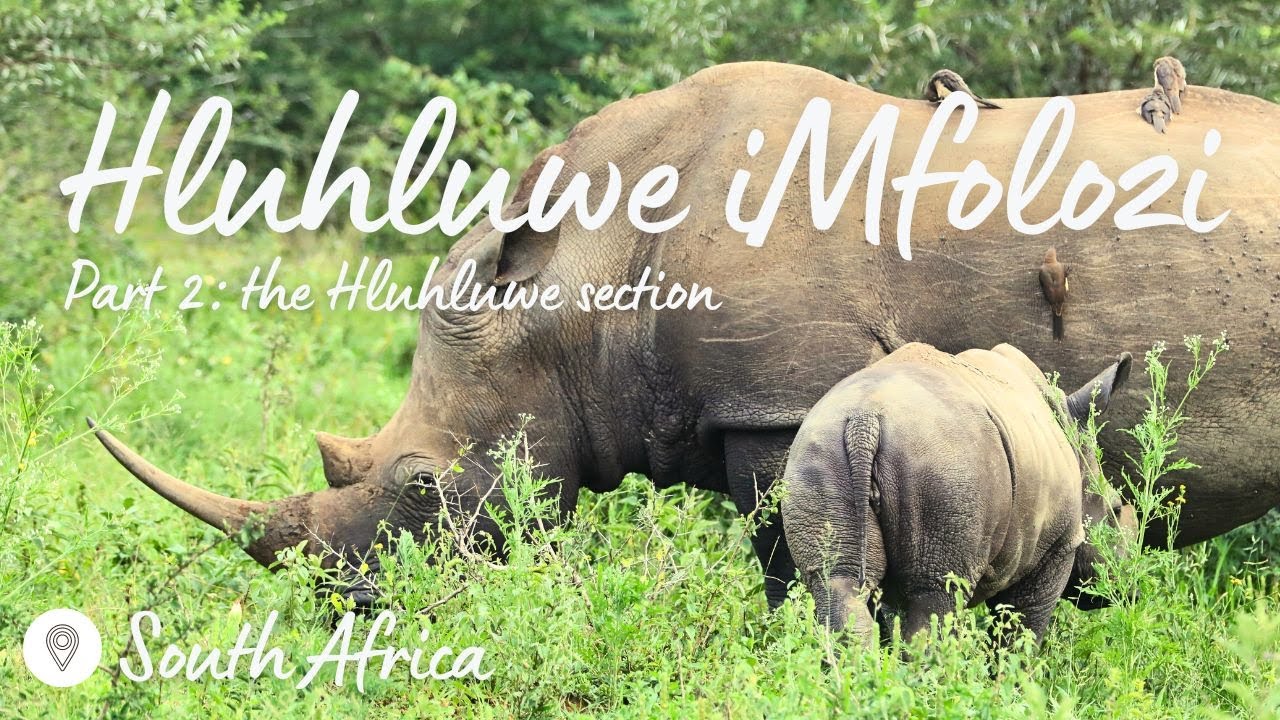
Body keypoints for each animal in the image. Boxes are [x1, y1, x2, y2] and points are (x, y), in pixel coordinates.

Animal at [781, 342, 1136, 644]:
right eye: (1117, 509)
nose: (1128, 584)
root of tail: (864, 420)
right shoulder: (1057, 547)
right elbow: (1021, 632)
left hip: (818, 452)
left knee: (836, 583)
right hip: (945, 464)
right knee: (936, 598)